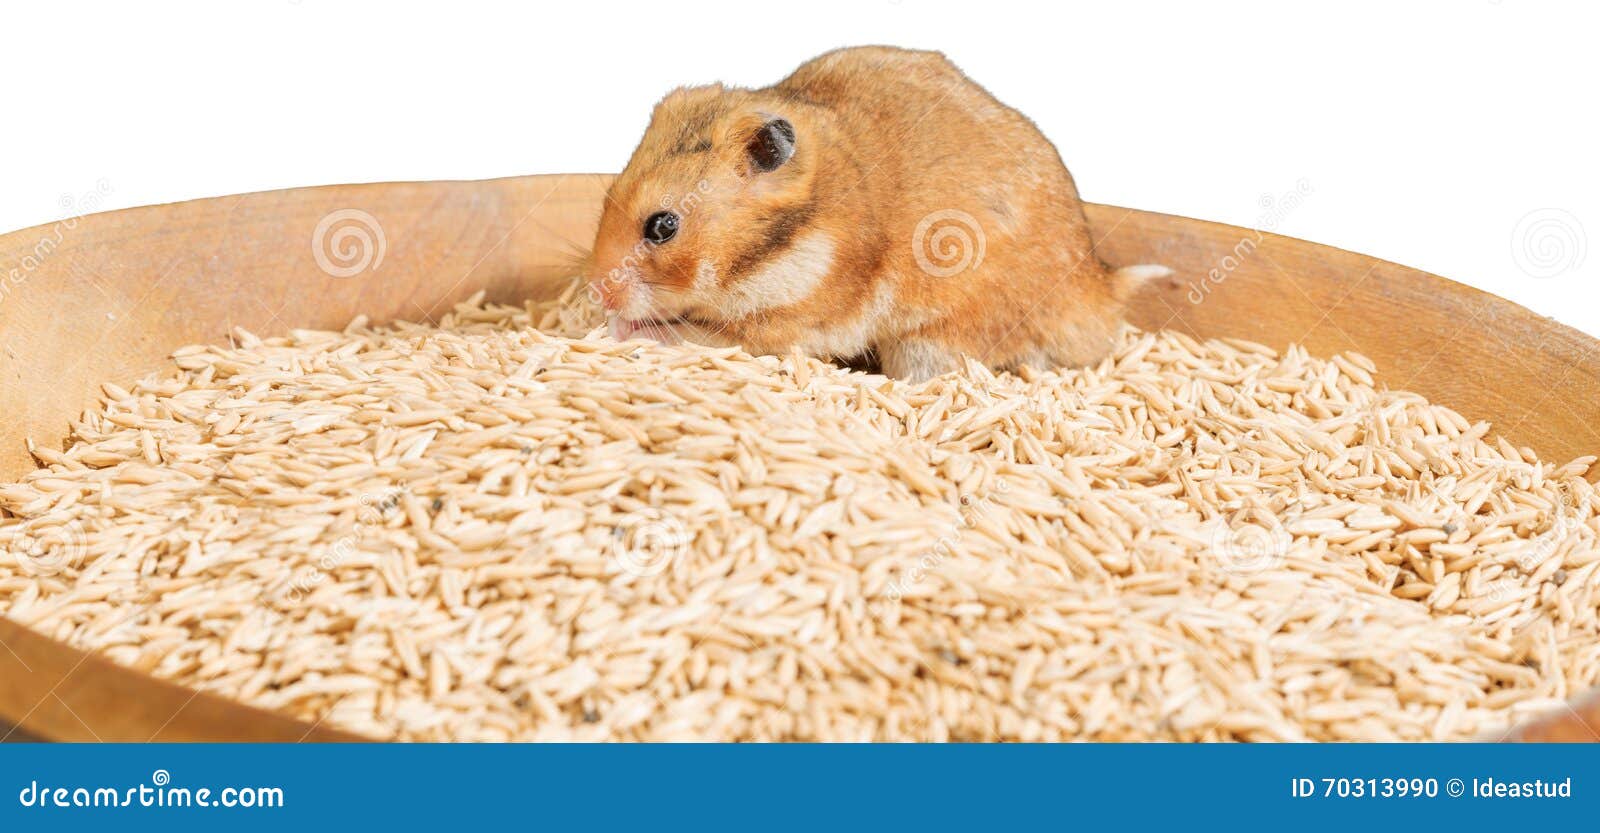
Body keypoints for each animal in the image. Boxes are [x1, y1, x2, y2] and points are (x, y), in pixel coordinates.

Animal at [587, 45, 1168, 382]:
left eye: (663, 226)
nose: (597, 293)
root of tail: (1100, 296)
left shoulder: (785, 325)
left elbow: (687, 334)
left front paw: (619, 329)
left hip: (933, 343)